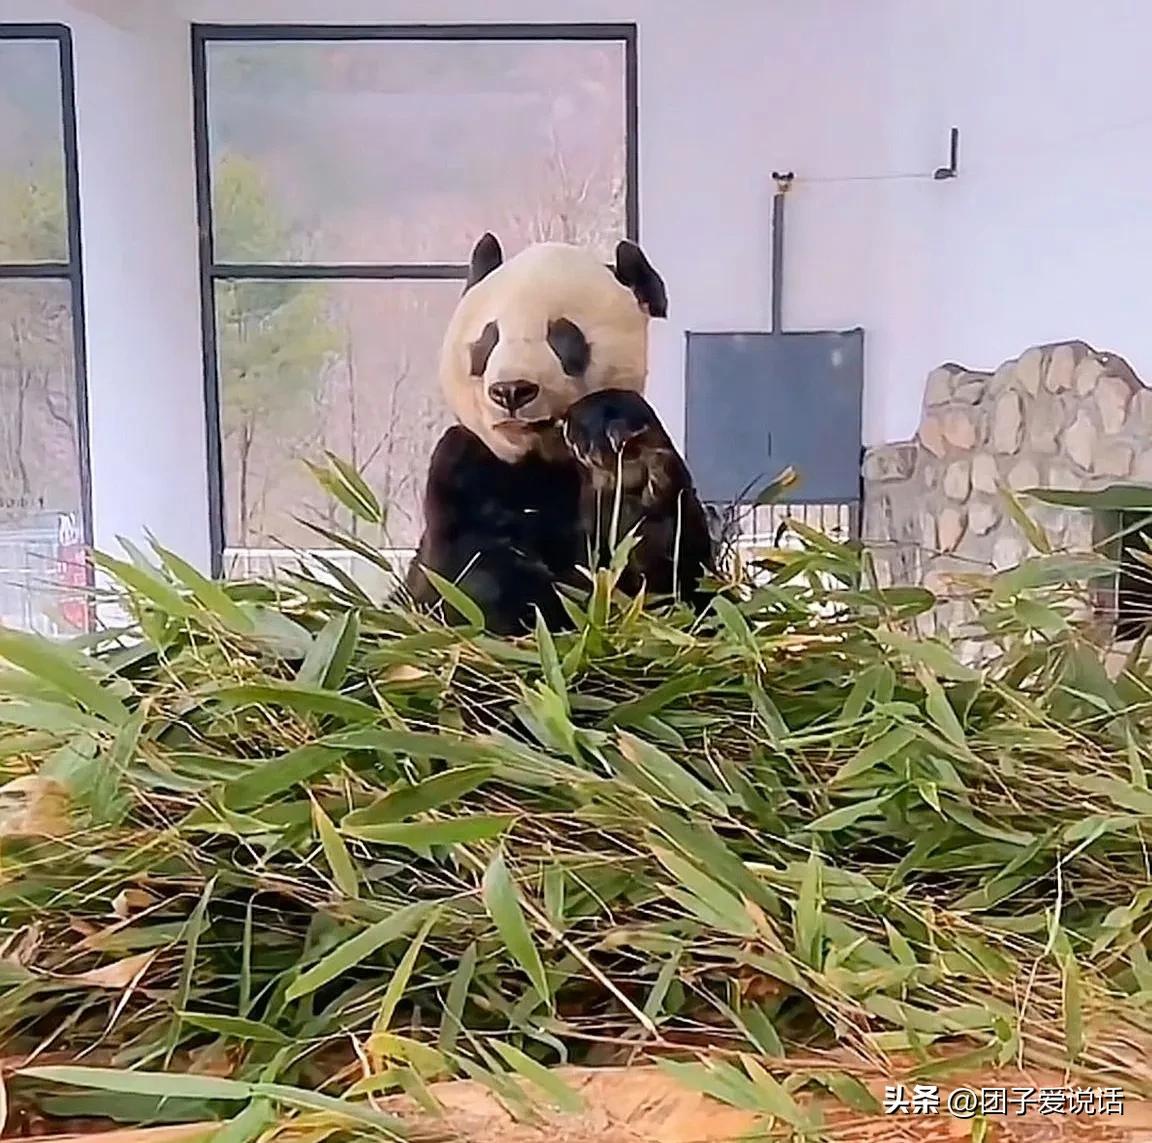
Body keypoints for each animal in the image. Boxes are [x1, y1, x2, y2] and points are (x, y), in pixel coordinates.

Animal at [404, 232, 715, 636]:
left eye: (565, 337)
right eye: (488, 339)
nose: (511, 390)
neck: (540, 461)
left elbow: (679, 581)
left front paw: (627, 470)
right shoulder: (462, 470)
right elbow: (466, 581)